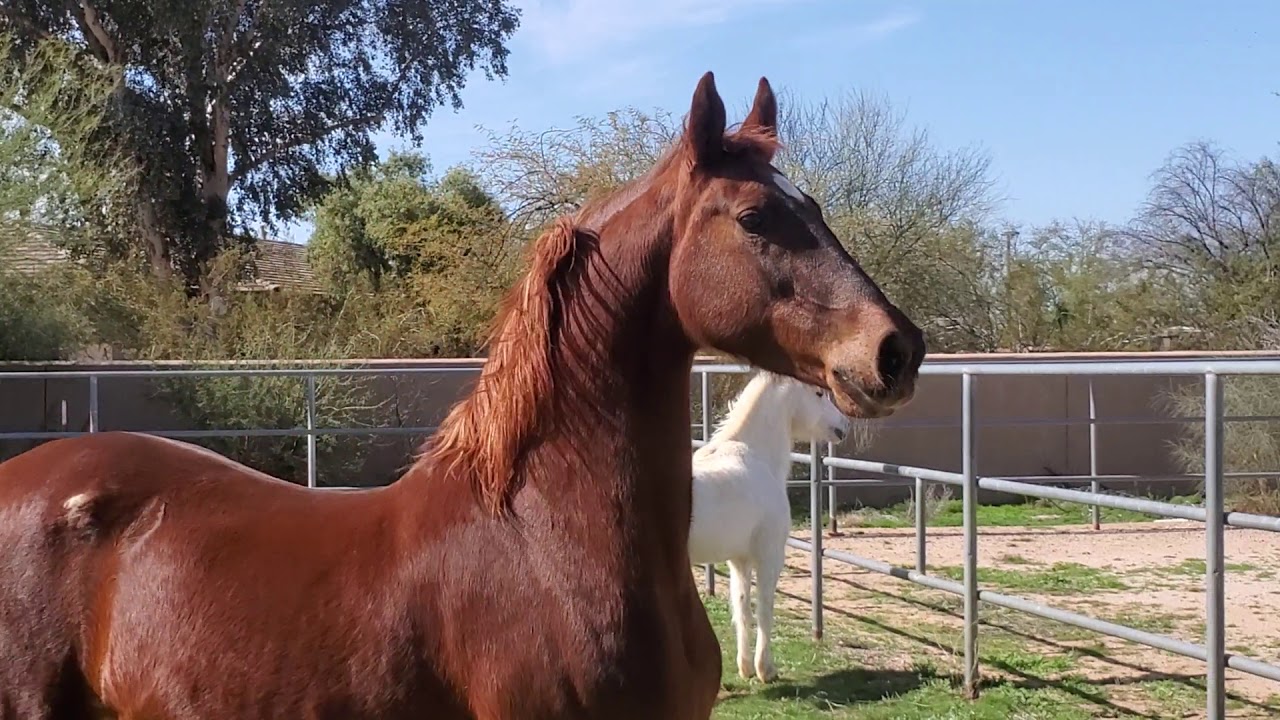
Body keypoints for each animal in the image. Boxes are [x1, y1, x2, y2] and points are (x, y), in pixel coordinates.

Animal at [688, 371, 850, 683]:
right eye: (818, 394)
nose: (843, 426)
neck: (754, 455)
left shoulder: (739, 560)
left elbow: (742, 609)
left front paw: (746, 668)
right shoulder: (769, 557)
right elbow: (764, 609)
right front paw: (766, 670)